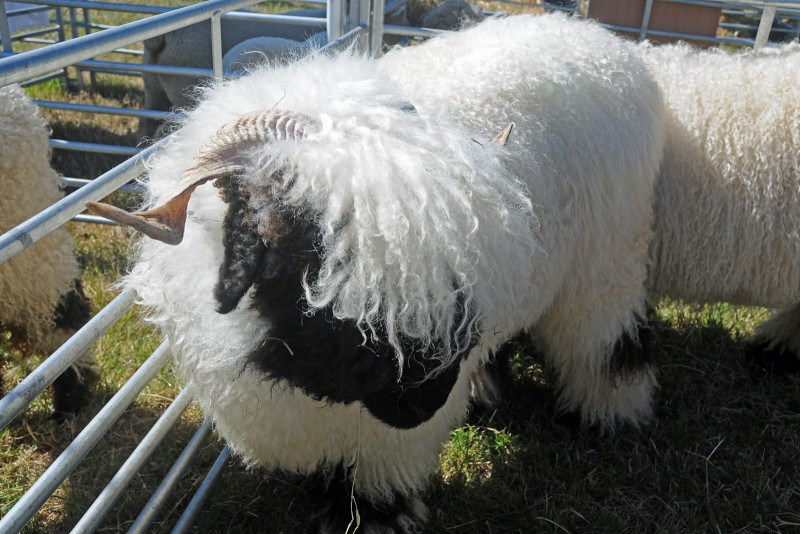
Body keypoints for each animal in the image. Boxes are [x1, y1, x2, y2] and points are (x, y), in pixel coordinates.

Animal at [88, 13, 665, 531]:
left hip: (608, 256)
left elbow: (378, 478)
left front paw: (378, 518)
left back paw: (609, 414)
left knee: (606, 338)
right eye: (294, 233)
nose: (425, 400)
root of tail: (593, 35)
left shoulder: (385, 439)